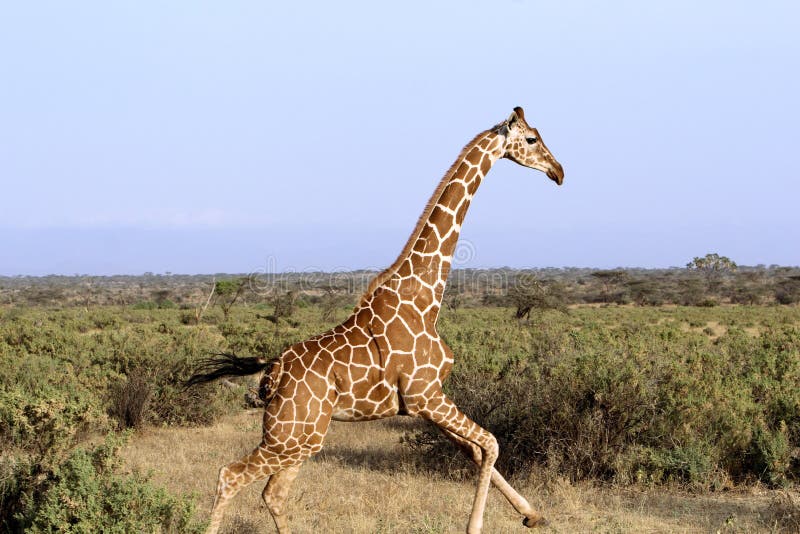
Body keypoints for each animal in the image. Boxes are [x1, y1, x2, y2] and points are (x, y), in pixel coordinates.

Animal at [187, 106, 564, 534]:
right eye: (532, 139)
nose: (558, 171)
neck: (425, 297)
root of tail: (273, 371)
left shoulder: (422, 404)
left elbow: (475, 451)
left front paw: (533, 514)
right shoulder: (426, 394)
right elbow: (491, 443)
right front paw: (481, 526)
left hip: (301, 437)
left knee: (273, 493)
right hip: (290, 436)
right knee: (229, 476)